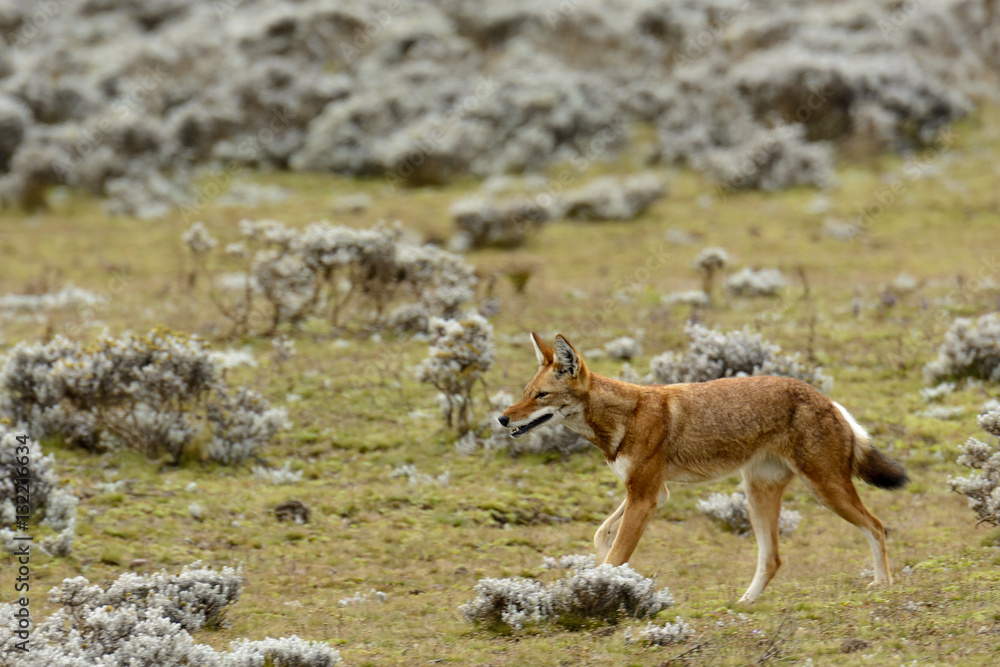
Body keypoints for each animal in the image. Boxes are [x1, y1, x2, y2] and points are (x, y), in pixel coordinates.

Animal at [498, 333, 908, 602]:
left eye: (541, 396)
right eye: (525, 393)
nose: (502, 418)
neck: (623, 417)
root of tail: (826, 399)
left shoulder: (645, 497)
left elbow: (614, 555)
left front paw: (602, 589)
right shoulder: (652, 493)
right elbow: (603, 537)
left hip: (825, 490)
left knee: (877, 526)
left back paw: (883, 585)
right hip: (758, 495)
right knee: (773, 559)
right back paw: (743, 604)